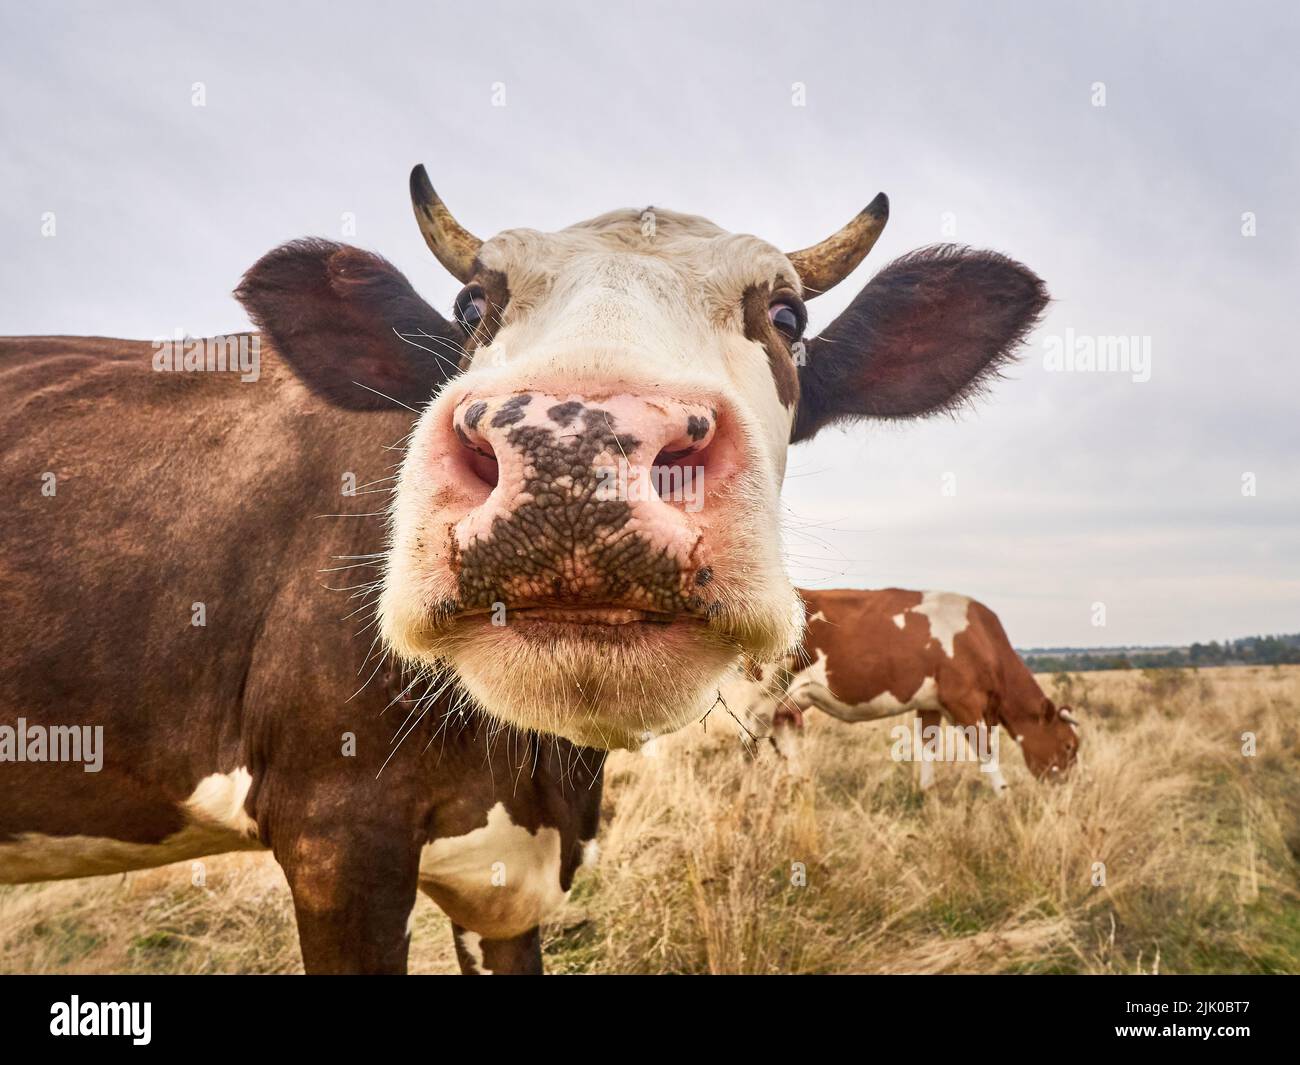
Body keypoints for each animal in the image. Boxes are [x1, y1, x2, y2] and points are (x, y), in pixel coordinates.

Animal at [719, 588, 1079, 792]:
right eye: (1069, 745)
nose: (1066, 788)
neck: (982, 639)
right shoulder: (963, 701)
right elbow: (986, 751)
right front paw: (1004, 794)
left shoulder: (932, 703)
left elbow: (927, 747)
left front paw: (927, 792)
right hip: (759, 689)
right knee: (748, 741)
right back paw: (749, 793)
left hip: (787, 700)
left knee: (783, 739)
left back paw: (798, 786)